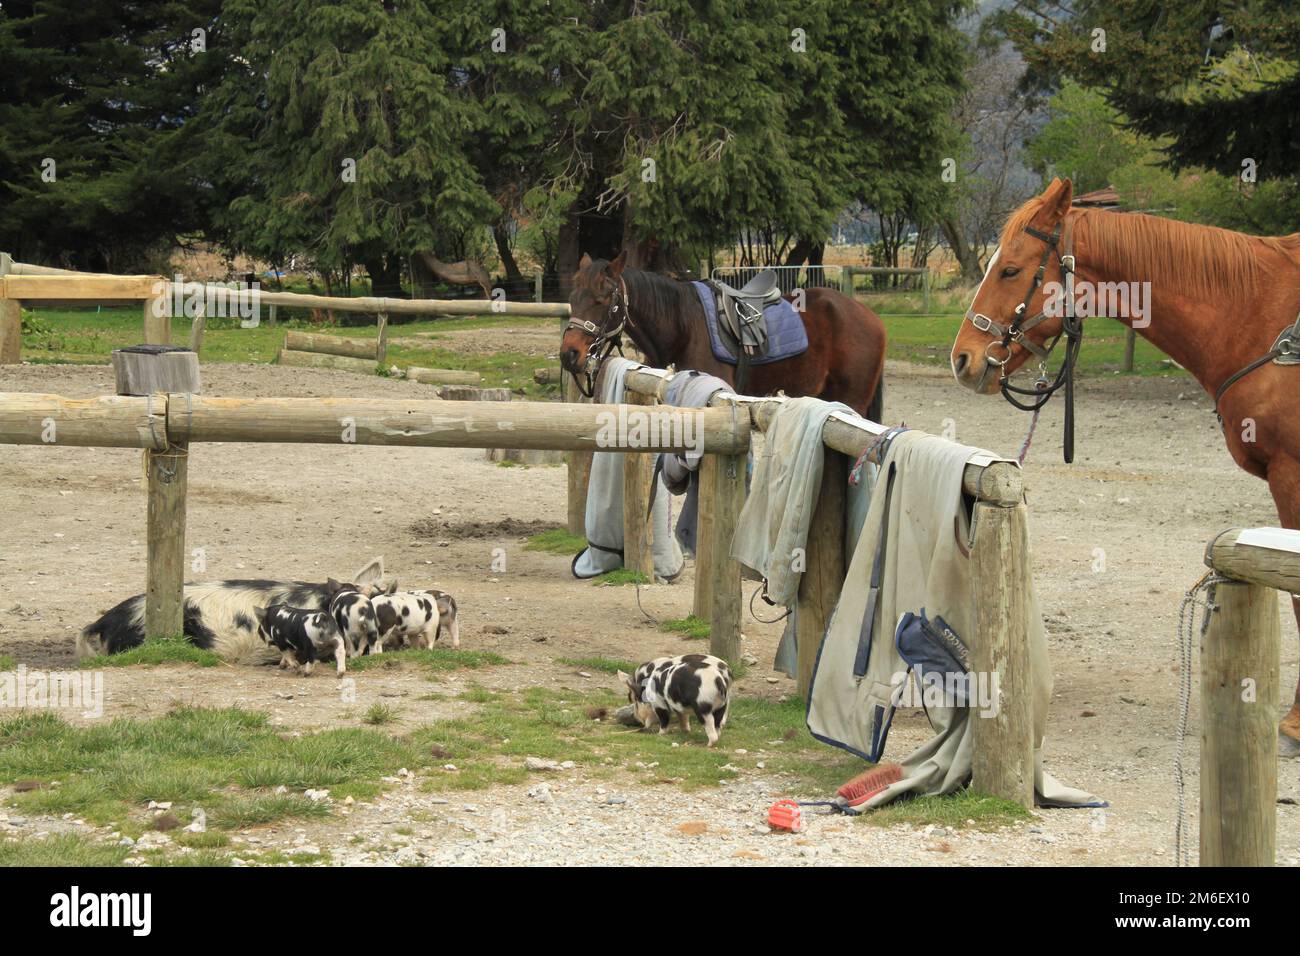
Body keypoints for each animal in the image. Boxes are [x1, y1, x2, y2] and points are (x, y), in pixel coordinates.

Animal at [559, 251, 886, 419]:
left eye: (601, 300)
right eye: (572, 297)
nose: (569, 353)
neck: (682, 327)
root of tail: (870, 317)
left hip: (852, 401)